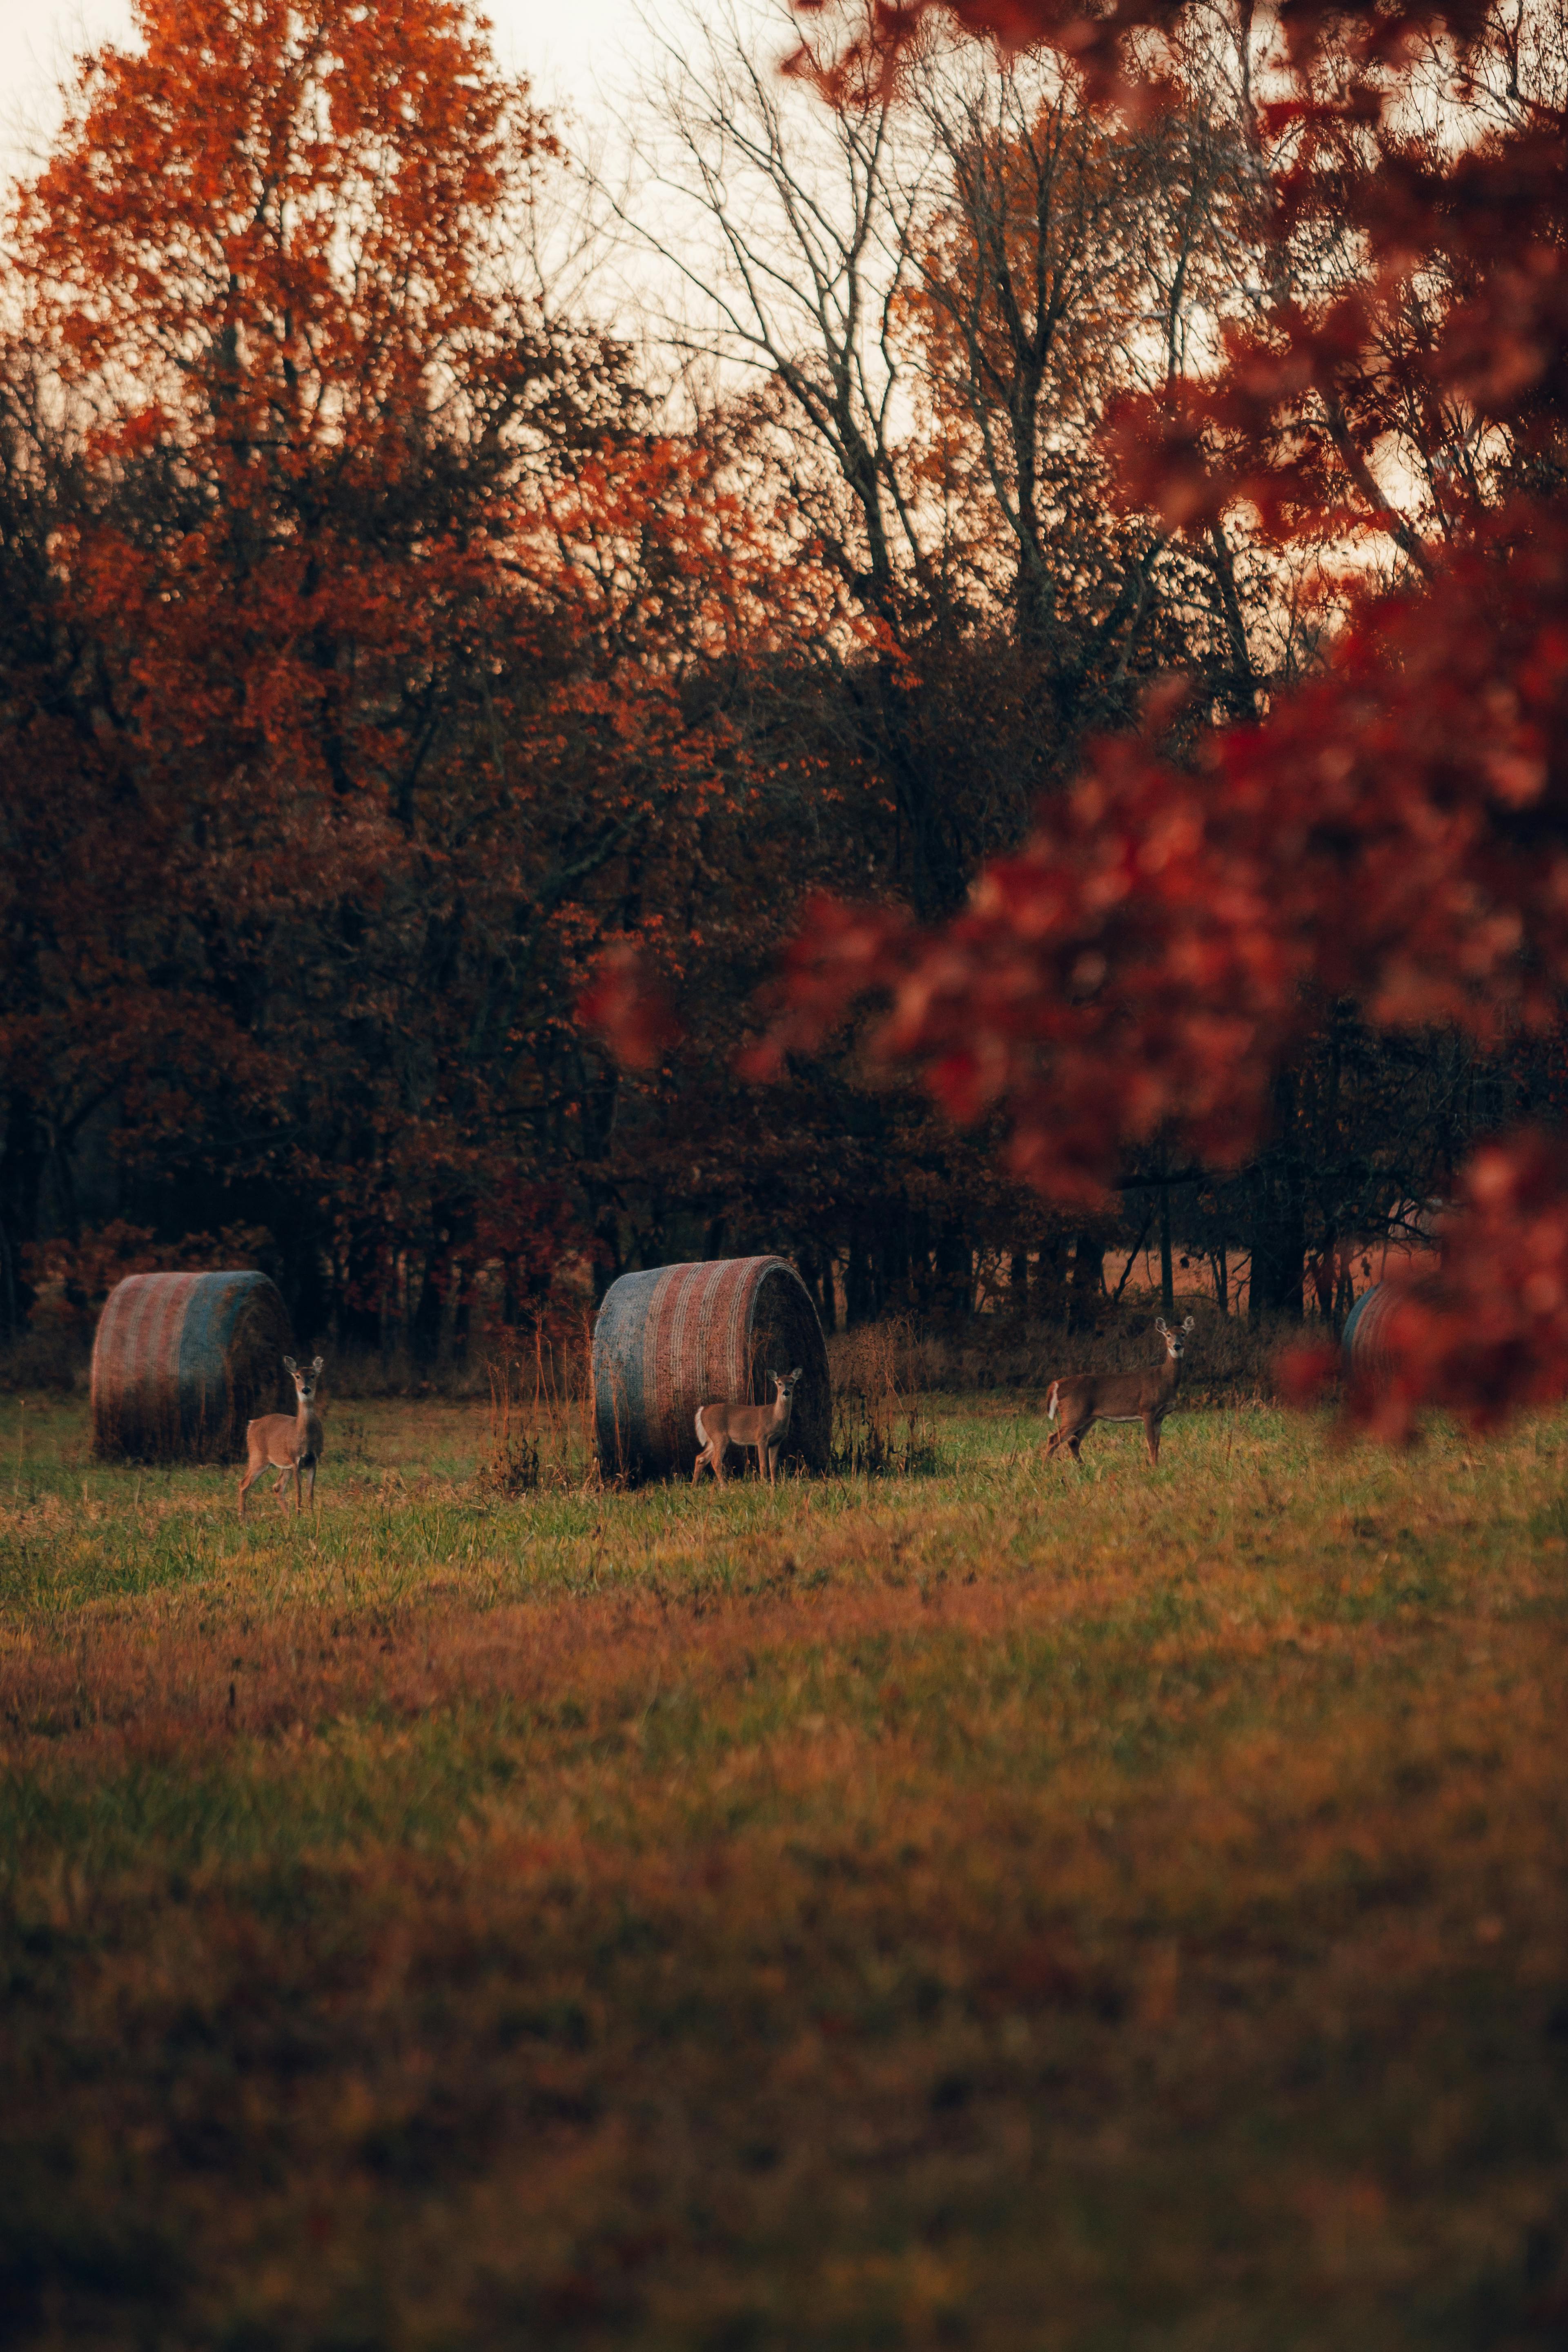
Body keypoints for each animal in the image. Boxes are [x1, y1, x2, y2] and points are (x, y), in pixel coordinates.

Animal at [238, 1354, 325, 1518]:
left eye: (313, 1376)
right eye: (298, 1376)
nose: (305, 1389)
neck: (304, 1433)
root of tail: (252, 1425)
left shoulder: (314, 1460)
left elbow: (310, 1493)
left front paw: (312, 1516)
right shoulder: (295, 1459)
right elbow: (299, 1493)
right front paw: (300, 1517)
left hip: (284, 1466)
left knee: (277, 1487)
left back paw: (288, 1517)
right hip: (258, 1456)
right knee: (243, 1484)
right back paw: (243, 1519)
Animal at [692, 1367, 803, 1487]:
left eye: (791, 1383)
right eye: (779, 1383)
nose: (786, 1392)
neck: (775, 1417)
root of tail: (703, 1410)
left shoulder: (776, 1441)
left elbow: (773, 1465)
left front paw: (775, 1486)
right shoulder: (762, 1438)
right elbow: (763, 1465)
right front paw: (764, 1484)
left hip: (713, 1439)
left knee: (701, 1458)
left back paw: (694, 1486)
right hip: (719, 1436)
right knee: (715, 1461)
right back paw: (725, 1487)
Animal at [1043, 1316, 1194, 1466]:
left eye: (1183, 1334)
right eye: (1168, 1335)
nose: (1177, 1346)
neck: (1164, 1379)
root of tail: (1056, 1385)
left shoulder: (1160, 1415)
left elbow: (1157, 1443)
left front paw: (1157, 1465)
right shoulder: (1148, 1409)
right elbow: (1151, 1442)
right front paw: (1153, 1467)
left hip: (1088, 1417)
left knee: (1073, 1441)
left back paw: (1082, 1467)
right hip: (1073, 1413)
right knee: (1054, 1439)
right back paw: (1045, 1467)